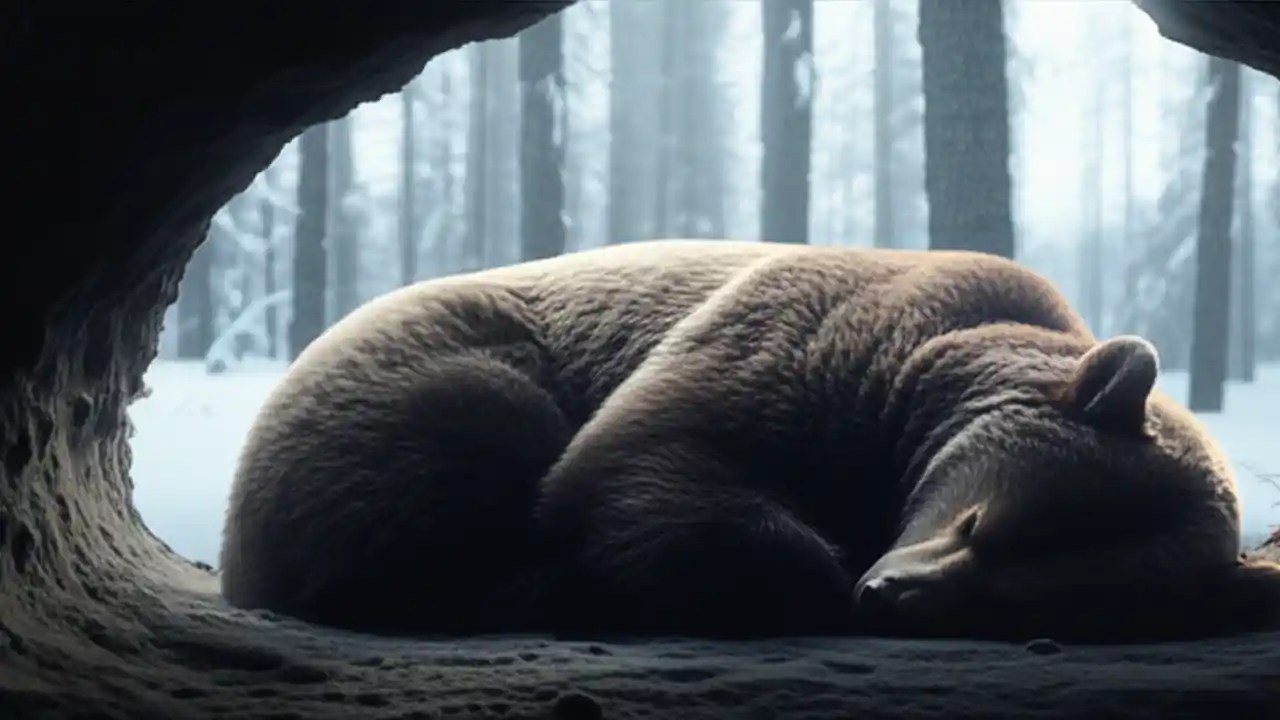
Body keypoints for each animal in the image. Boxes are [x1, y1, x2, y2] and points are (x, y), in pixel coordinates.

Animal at [217, 239, 1280, 642]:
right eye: (980, 521)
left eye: (1019, 602)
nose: (885, 593)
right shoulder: (819, 334)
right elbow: (636, 463)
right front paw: (808, 565)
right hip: (421, 378)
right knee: (478, 432)